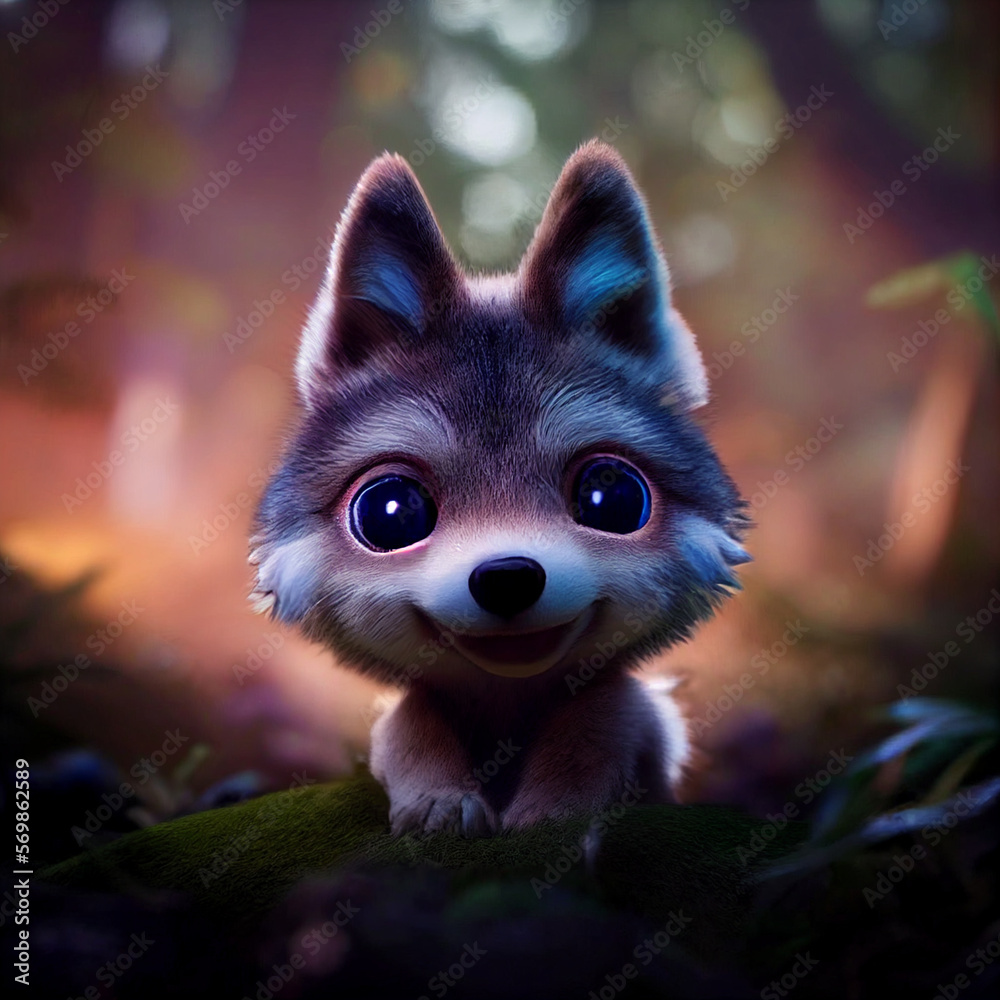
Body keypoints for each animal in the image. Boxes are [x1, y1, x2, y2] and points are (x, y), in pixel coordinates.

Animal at [249, 140, 749, 836]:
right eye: (391, 513)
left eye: (611, 499)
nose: (509, 576)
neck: (508, 706)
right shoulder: (410, 714)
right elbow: (412, 723)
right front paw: (440, 800)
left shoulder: (631, 716)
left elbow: (604, 714)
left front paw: (554, 810)